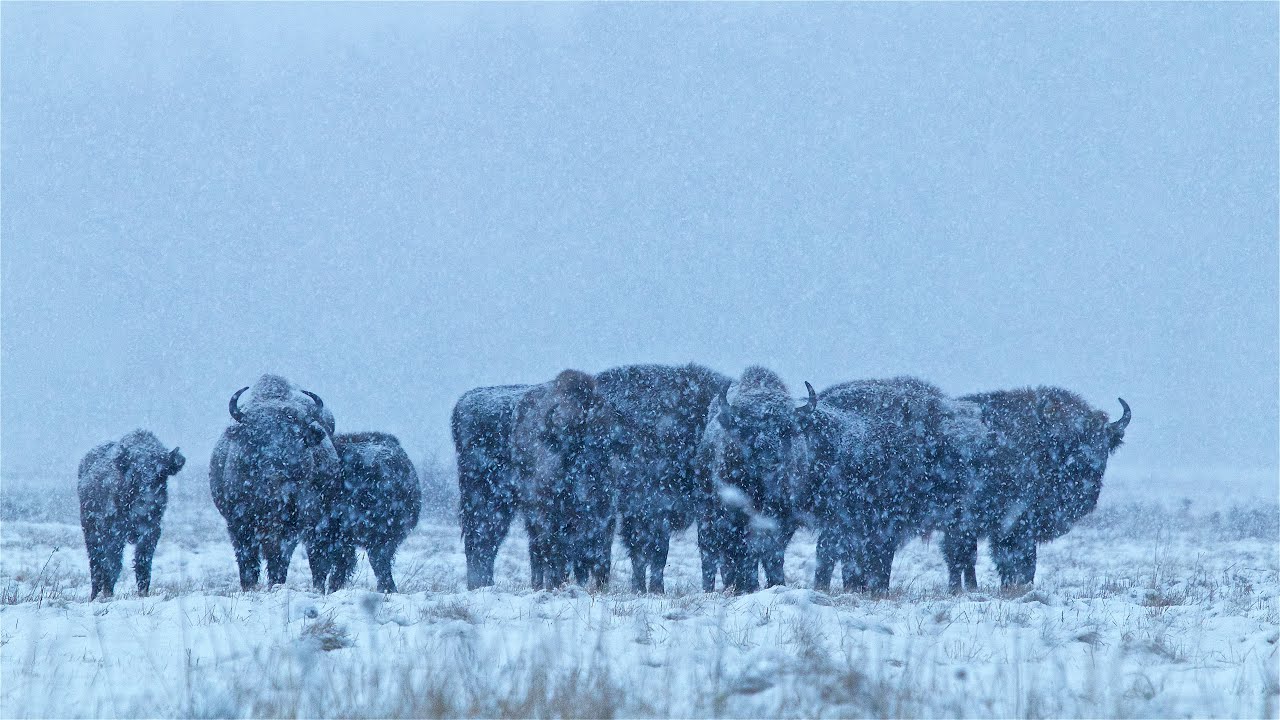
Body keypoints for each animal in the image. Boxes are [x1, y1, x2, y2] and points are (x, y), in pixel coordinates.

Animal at [78, 430, 185, 599]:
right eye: (134, 473)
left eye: (162, 473)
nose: (148, 498)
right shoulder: (113, 534)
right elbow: (112, 564)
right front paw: (108, 593)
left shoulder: (150, 531)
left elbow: (143, 563)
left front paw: (143, 593)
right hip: (90, 531)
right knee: (95, 563)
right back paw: (94, 594)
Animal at [209, 374, 338, 590]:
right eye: (255, 438)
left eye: (296, 437)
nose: (275, 476)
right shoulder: (238, 524)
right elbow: (247, 560)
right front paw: (249, 586)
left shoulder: (291, 527)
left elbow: (278, 559)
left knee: (317, 559)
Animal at [943, 388, 1130, 590]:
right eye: (1073, 439)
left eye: (1105, 441)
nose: (1091, 463)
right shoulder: (1012, 522)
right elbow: (1014, 559)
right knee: (959, 556)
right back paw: (958, 589)